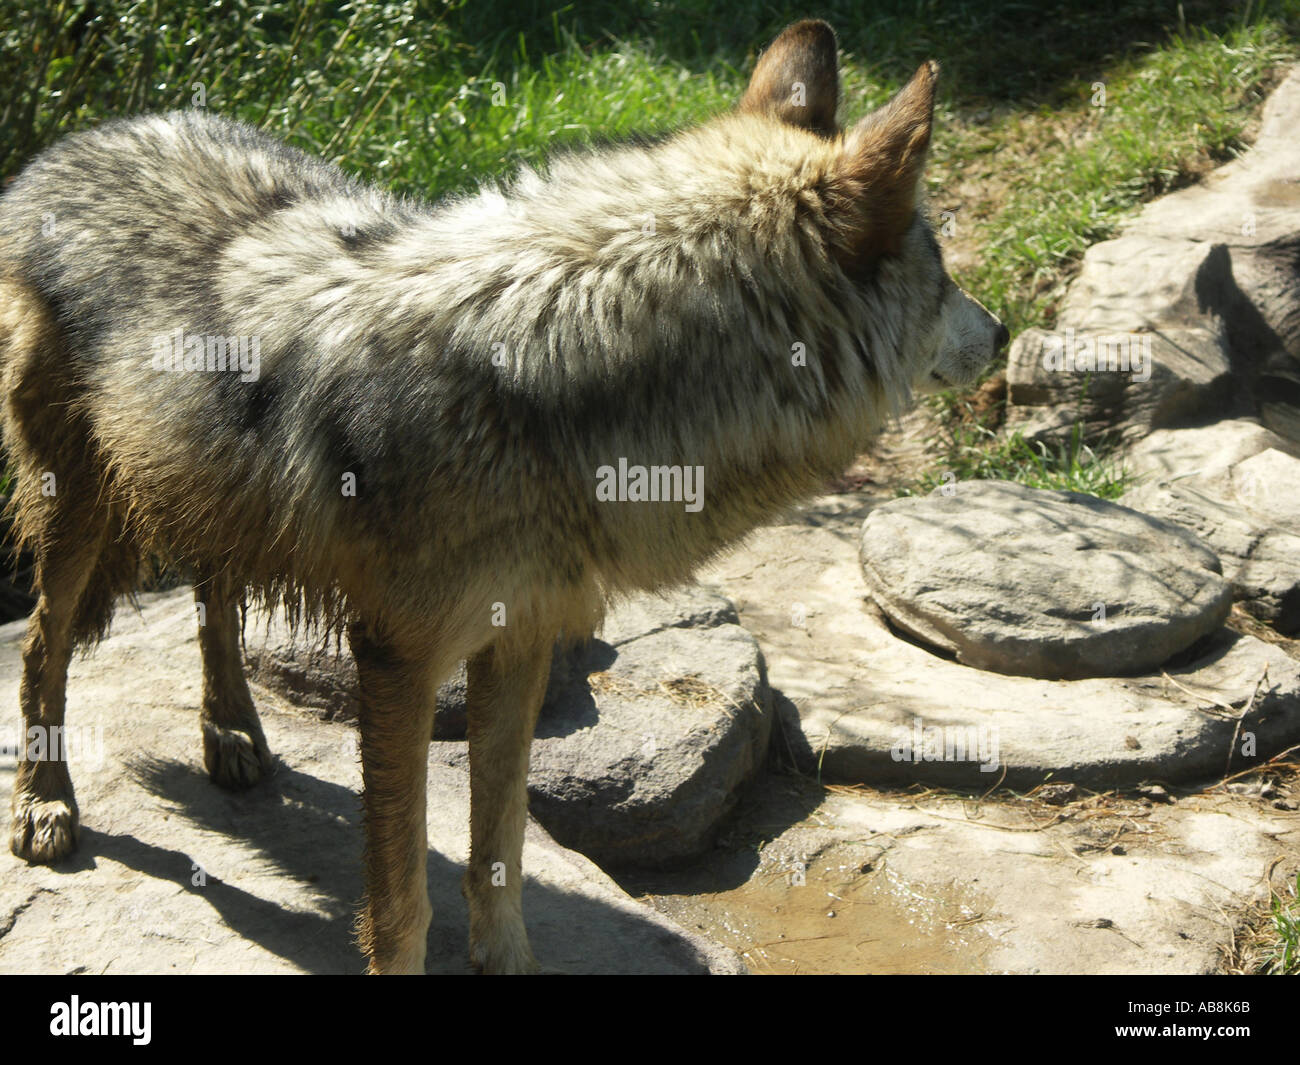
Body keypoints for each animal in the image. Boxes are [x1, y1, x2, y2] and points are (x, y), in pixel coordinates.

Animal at [0, 19, 1006, 973]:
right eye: (946, 271)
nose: (1002, 332)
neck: (550, 376)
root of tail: (71, 146)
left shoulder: (519, 638)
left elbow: (500, 849)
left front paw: (509, 957)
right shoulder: (398, 662)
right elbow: (403, 897)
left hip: (204, 495)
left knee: (214, 598)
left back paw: (233, 736)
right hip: (80, 511)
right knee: (45, 651)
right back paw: (48, 807)